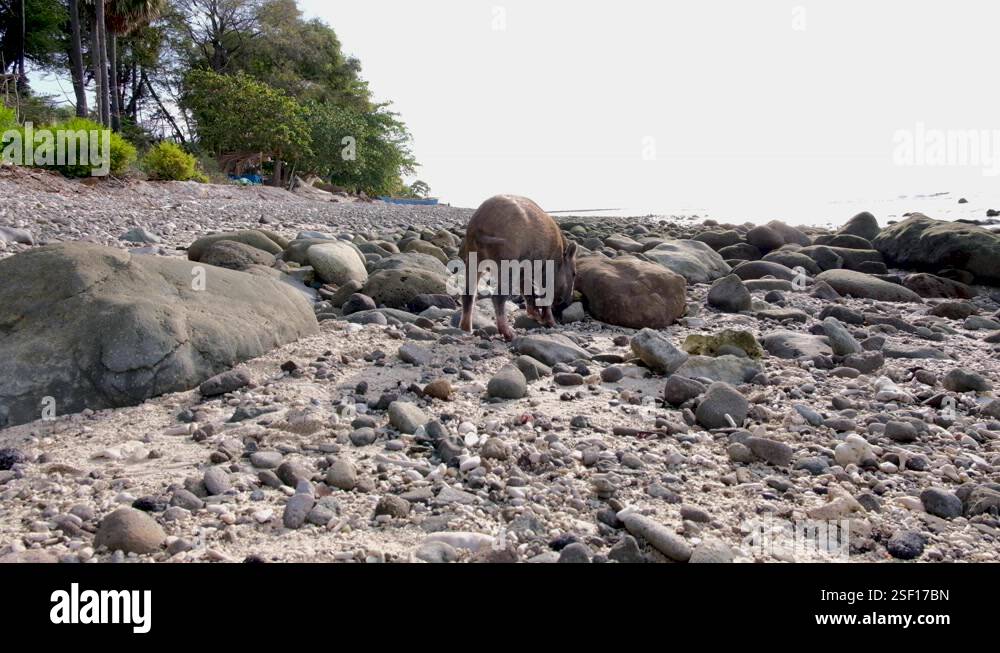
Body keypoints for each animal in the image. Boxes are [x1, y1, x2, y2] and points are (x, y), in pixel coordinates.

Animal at [458, 195, 577, 341]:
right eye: (574, 274)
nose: (568, 302)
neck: (560, 256)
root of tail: (479, 228)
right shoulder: (546, 272)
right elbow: (544, 296)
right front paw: (552, 323)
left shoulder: (524, 273)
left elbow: (529, 292)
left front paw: (537, 317)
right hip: (508, 262)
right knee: (497, 297)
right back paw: (510, 334)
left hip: (473, 258)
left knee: (468, 294)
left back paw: (466, 330)